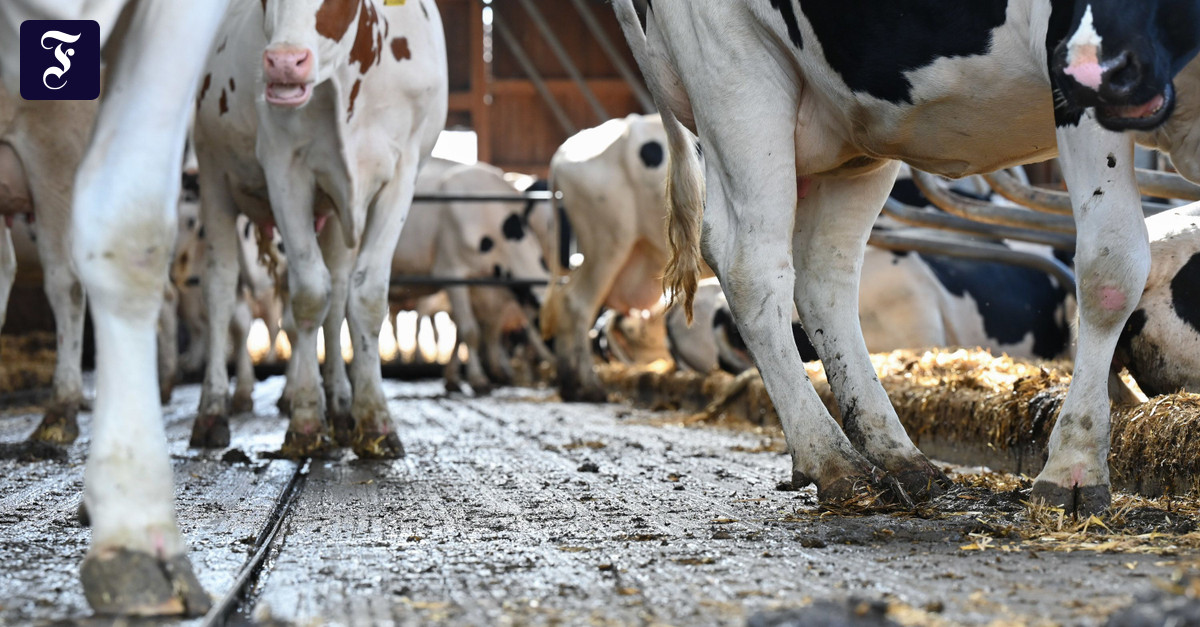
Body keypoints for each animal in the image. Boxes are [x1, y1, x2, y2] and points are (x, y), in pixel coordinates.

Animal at [193, 0, 448, 458]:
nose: (283, 62)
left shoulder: (402, 172)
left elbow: (365, 296)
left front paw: (374, 419)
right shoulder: (284, 168)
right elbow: (310, 293)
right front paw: (307, 421)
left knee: (341, 286)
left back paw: (342, 406)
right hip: (213, 175)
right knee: (221, 293)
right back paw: (212, 411)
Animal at [612, 0, 1200, 514]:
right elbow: (1110, 267)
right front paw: (1073, 469)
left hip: (852, 135)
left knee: (825, 273)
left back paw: (899, 458)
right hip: (738, 76)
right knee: (750, 263)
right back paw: (832, 462)